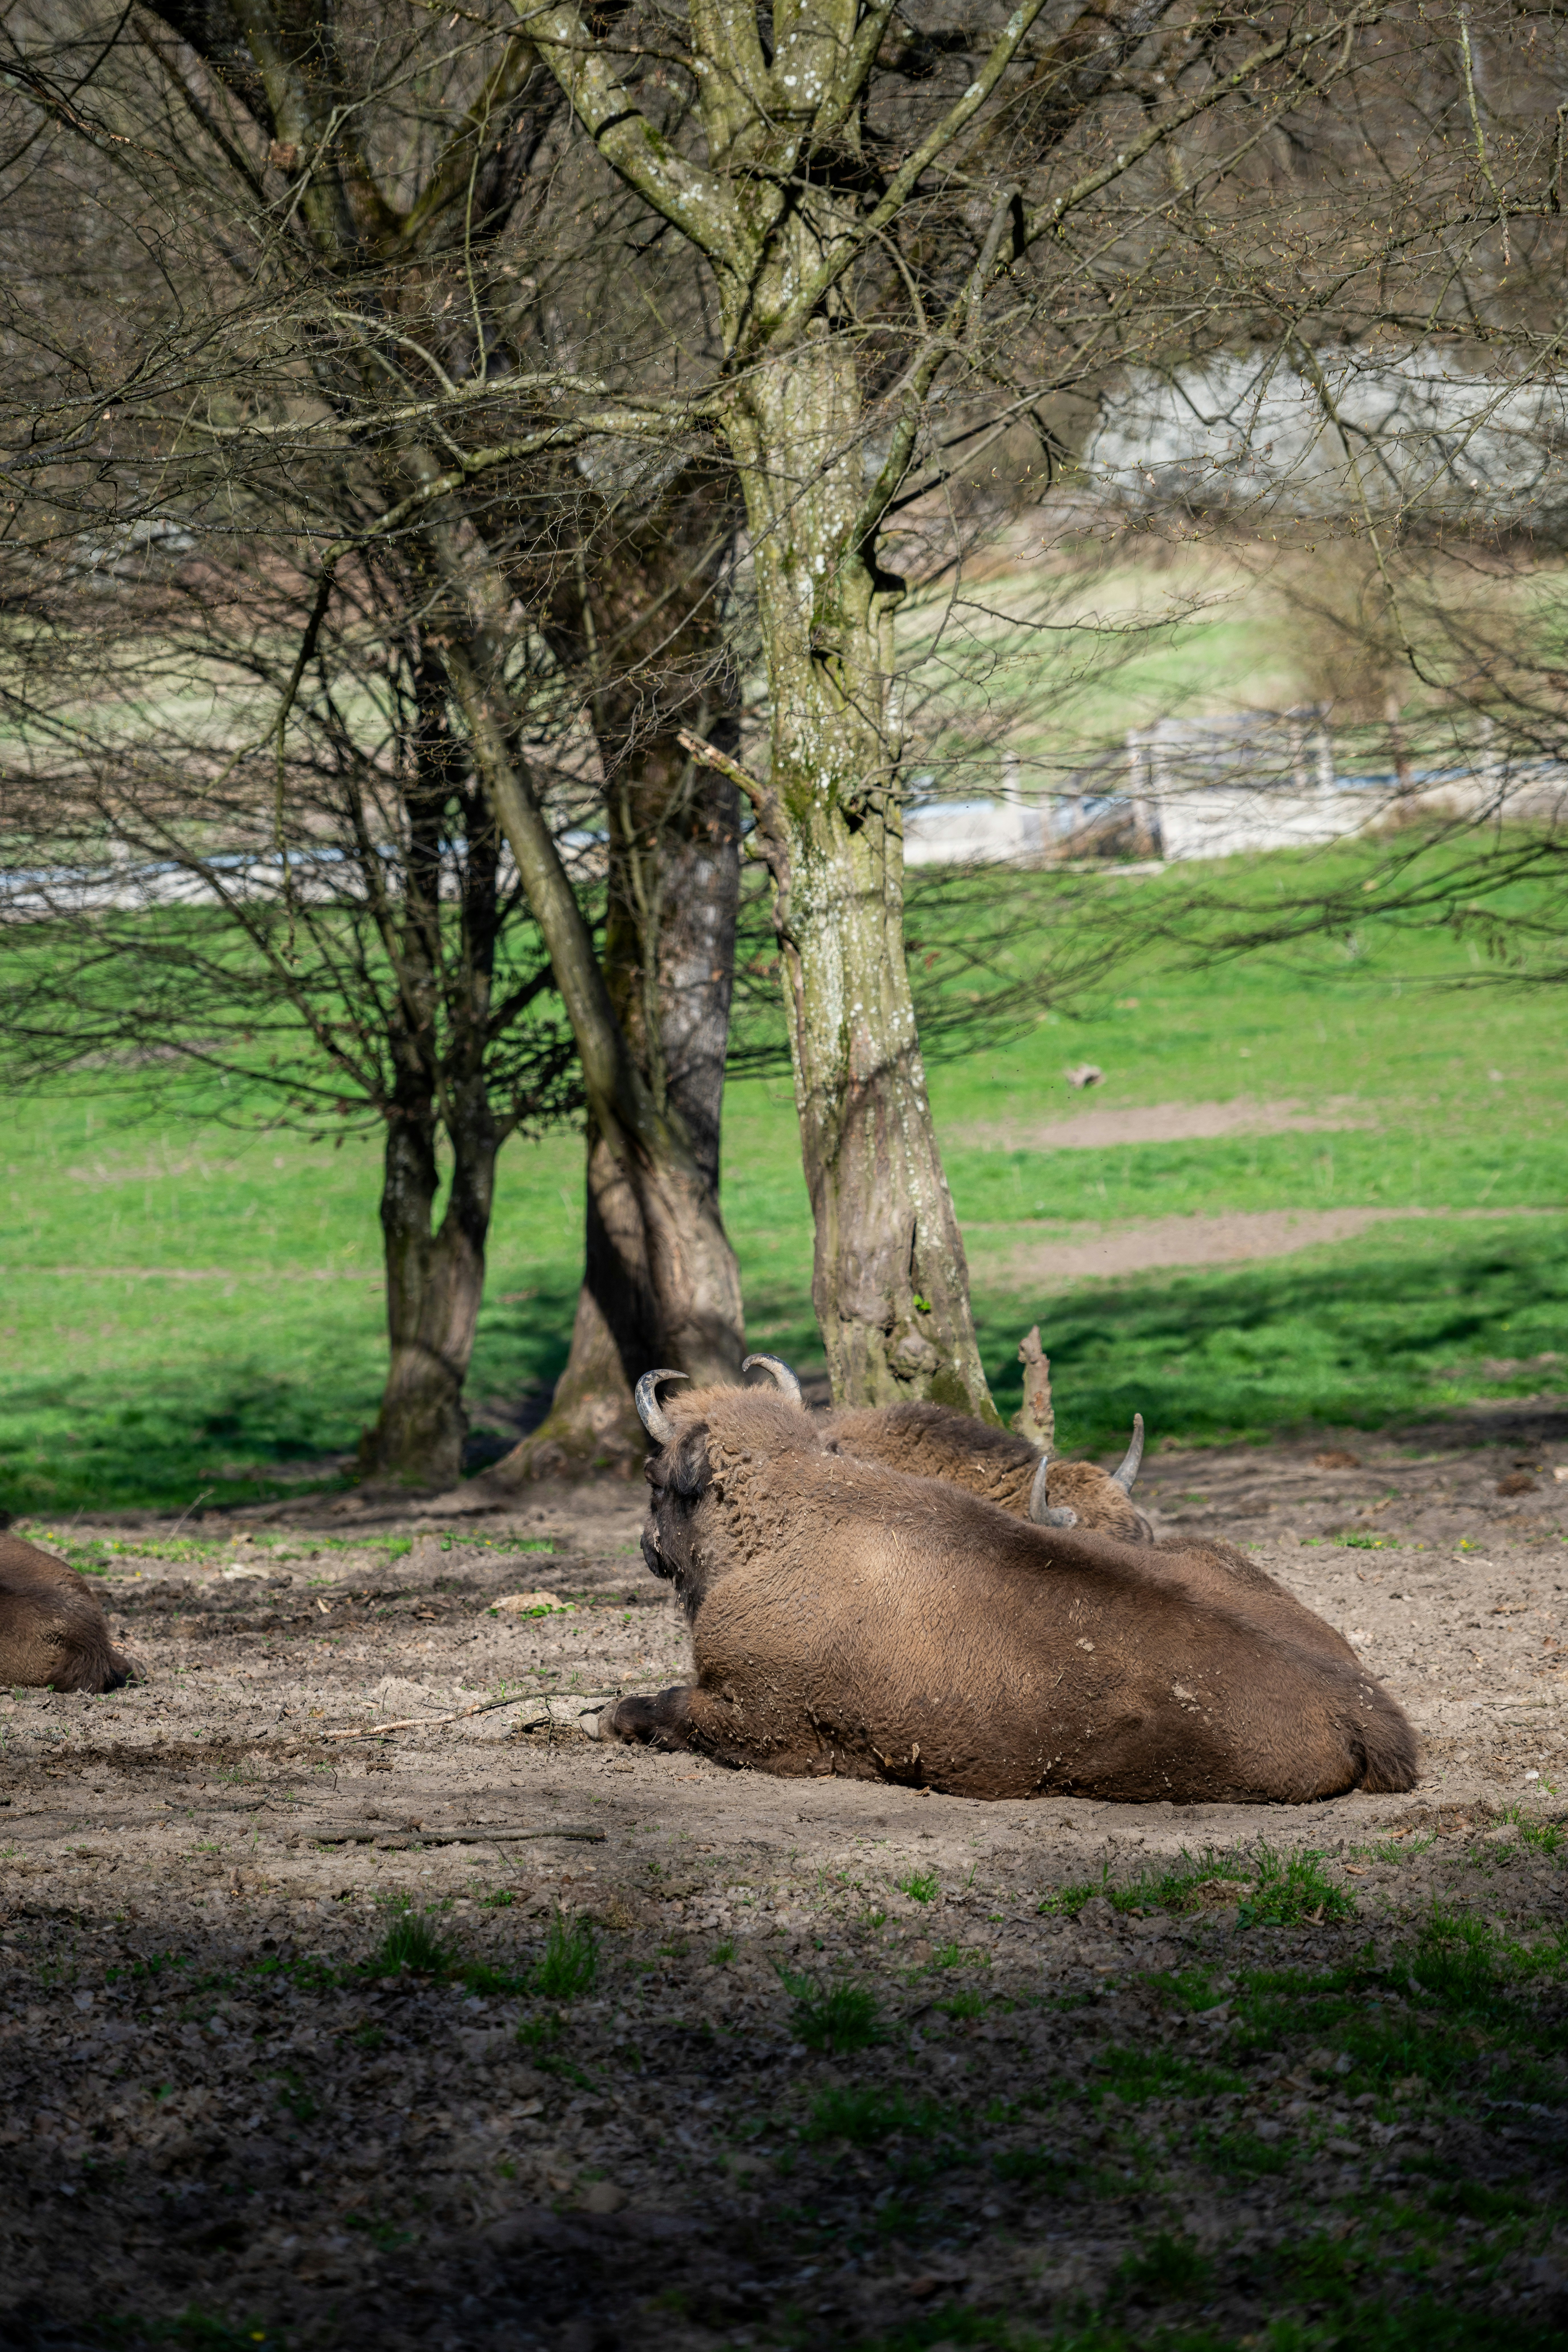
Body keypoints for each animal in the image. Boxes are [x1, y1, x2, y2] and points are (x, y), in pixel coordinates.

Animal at [598, 1376, 1417, 1803]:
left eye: (653, 1476)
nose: (644, 1547)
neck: (782, 1510)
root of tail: (1363, 1707)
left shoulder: (755, 1719)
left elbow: (661, 1708)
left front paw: (609, 1716)